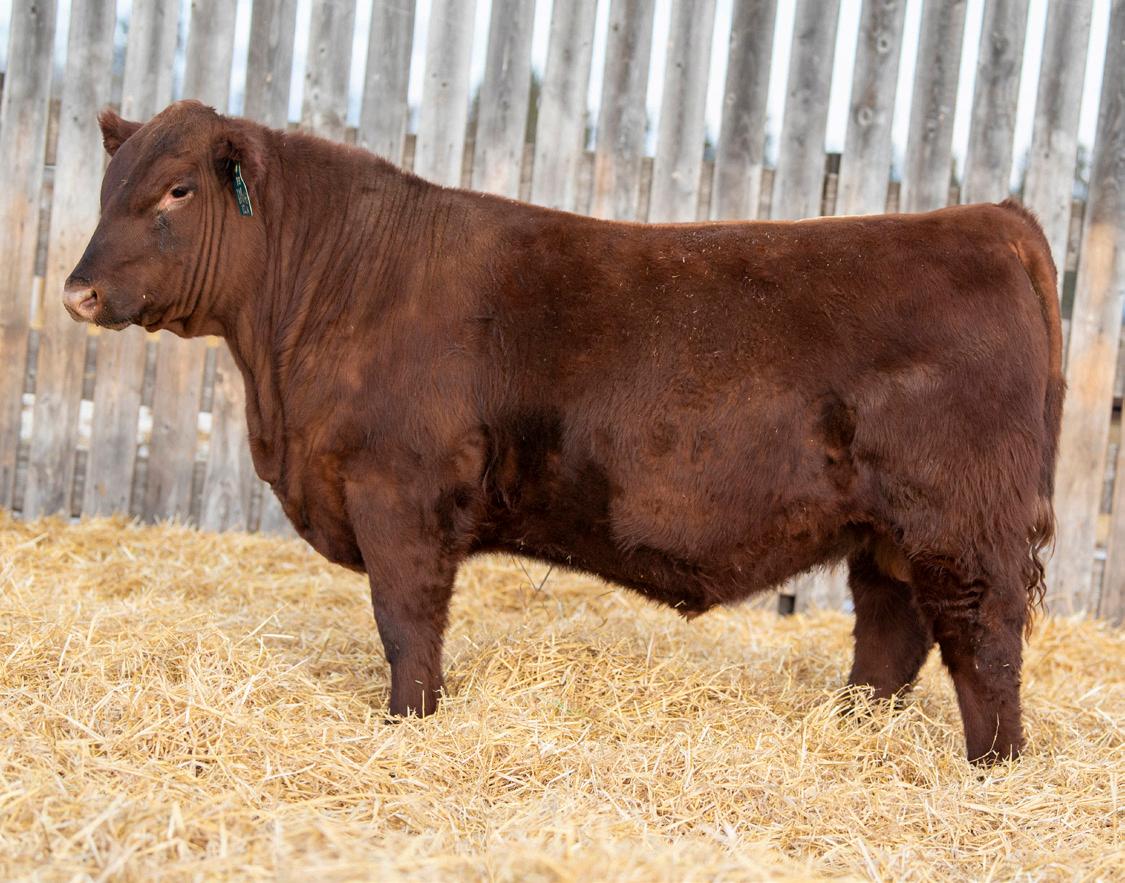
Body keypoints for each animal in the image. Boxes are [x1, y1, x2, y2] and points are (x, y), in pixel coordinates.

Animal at [64, 100, 1064, 764]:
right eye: (107, 187)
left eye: (177, 190)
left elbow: (405, 620)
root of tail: (992, 219)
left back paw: (993, 766)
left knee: (984, 639)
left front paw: (407, 722)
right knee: (889, 634)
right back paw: (849, 728)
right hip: (887, 530)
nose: (77, 292)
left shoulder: (399, 492)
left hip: (960, 521)